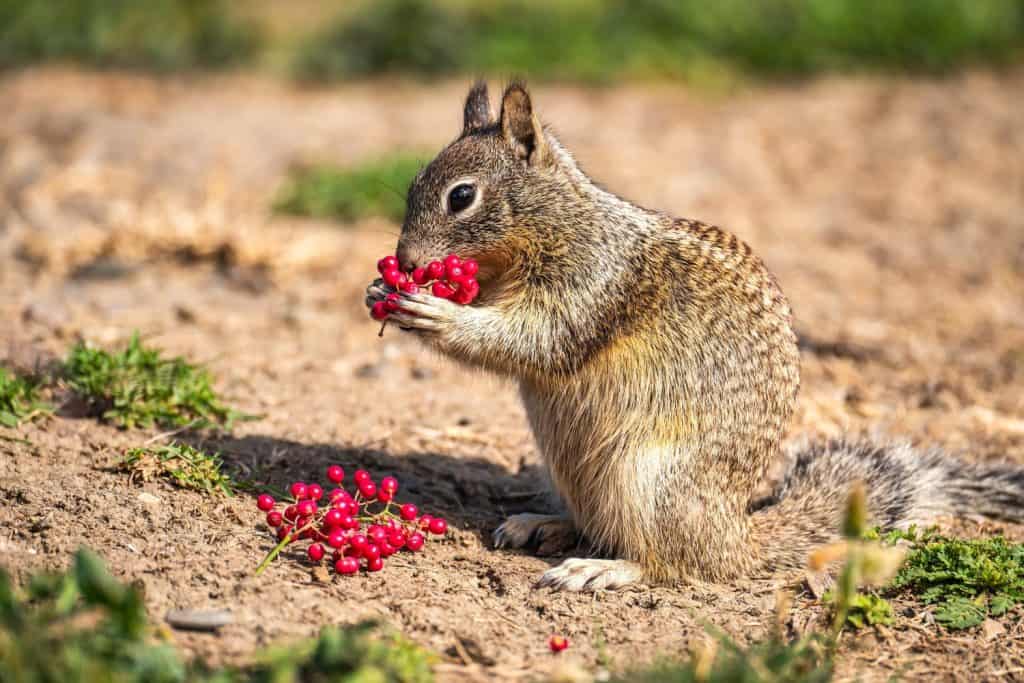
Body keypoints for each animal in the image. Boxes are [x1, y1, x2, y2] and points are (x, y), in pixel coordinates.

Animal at [365, 80, 1024, 591]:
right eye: (414, 183)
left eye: (462, 196)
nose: (407, 259)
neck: (559, 223)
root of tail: (738, 536)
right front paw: (382, 292)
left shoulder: (591, 284)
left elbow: (536, 340)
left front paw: (434, 312)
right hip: (575, 472)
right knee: (602, 526)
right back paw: (544, 525)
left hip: (648, 481)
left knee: (674, 564)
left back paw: (603, 570)